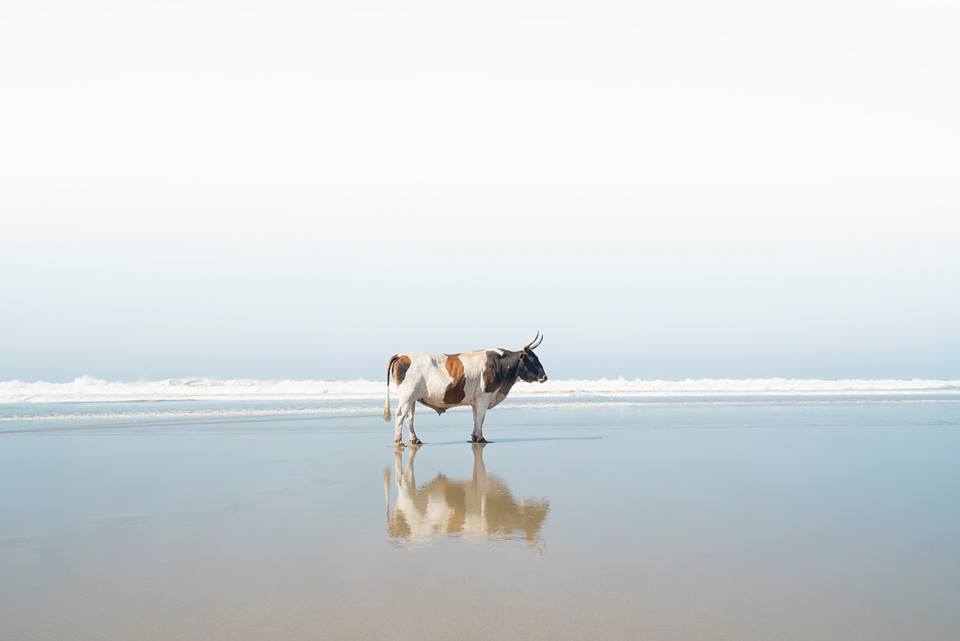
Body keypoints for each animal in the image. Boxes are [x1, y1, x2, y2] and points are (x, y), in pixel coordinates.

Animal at [383, 333, 548, 445]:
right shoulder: (484, 397)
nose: (545, 377)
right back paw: (398, 441)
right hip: (407, 396)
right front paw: (481, 438)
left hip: (412, 398)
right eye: (532, 360)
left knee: (409, 417)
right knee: (400, 415)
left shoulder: (476, 401)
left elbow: (475, 418)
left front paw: (475, 438)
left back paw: (415, 440)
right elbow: (481, 418)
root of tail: (404, 355)